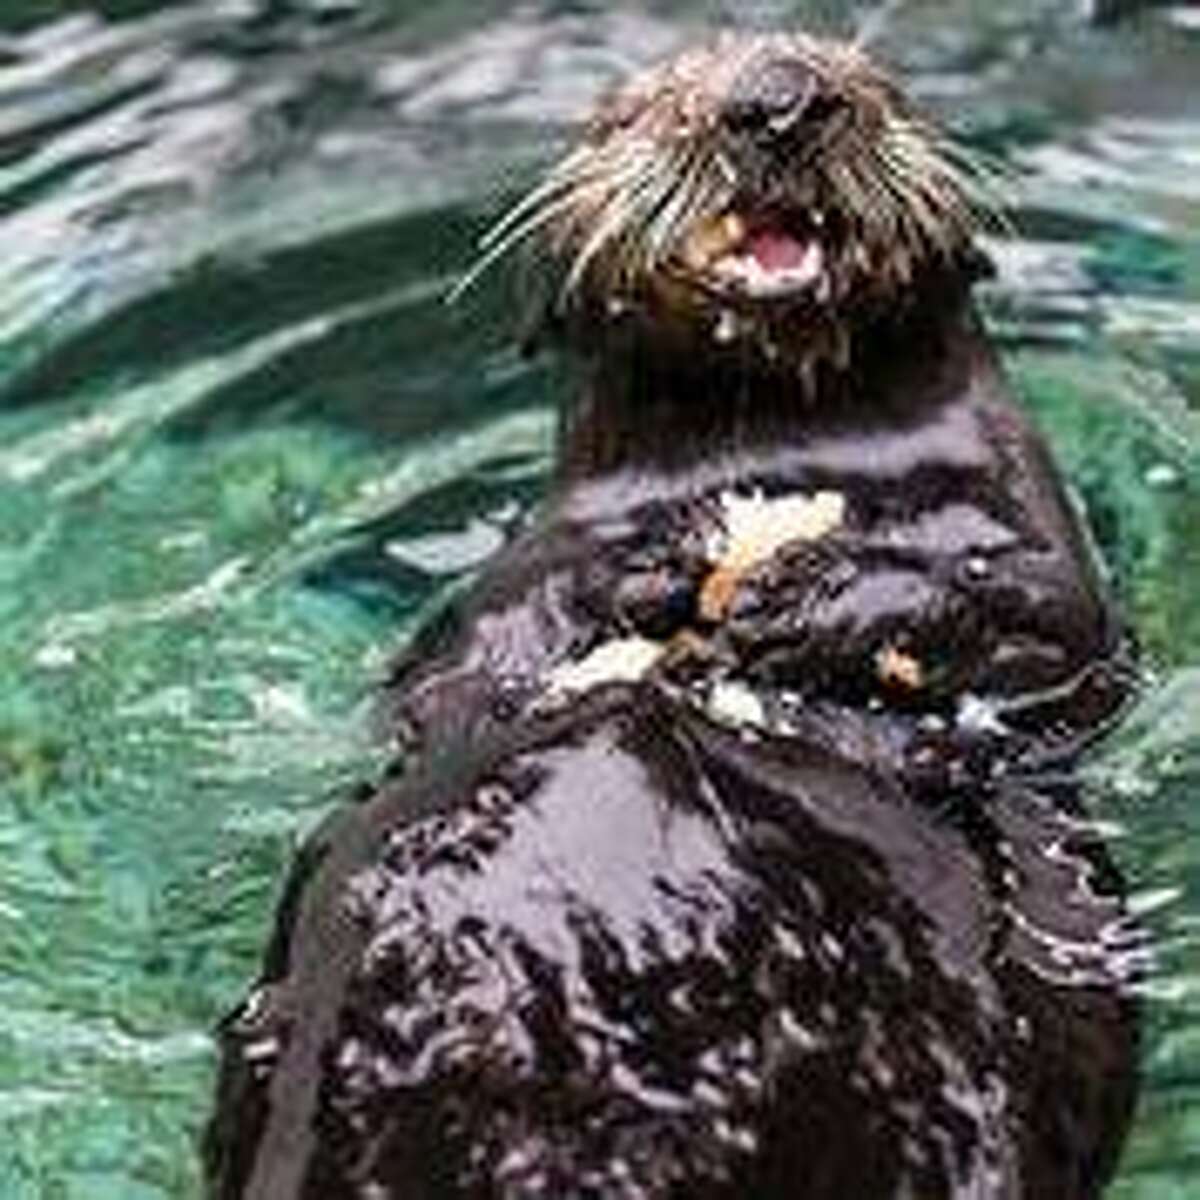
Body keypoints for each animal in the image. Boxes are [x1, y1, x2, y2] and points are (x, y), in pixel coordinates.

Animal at [206, 31, 1142, 1199]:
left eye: (879, 85)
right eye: (627, 111)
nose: (778, 99)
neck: (784, 455)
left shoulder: (1048, 556)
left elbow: (1045, 625)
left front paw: (812, 594)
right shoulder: (500, 592)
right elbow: (457, 669)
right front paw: (644, 574)